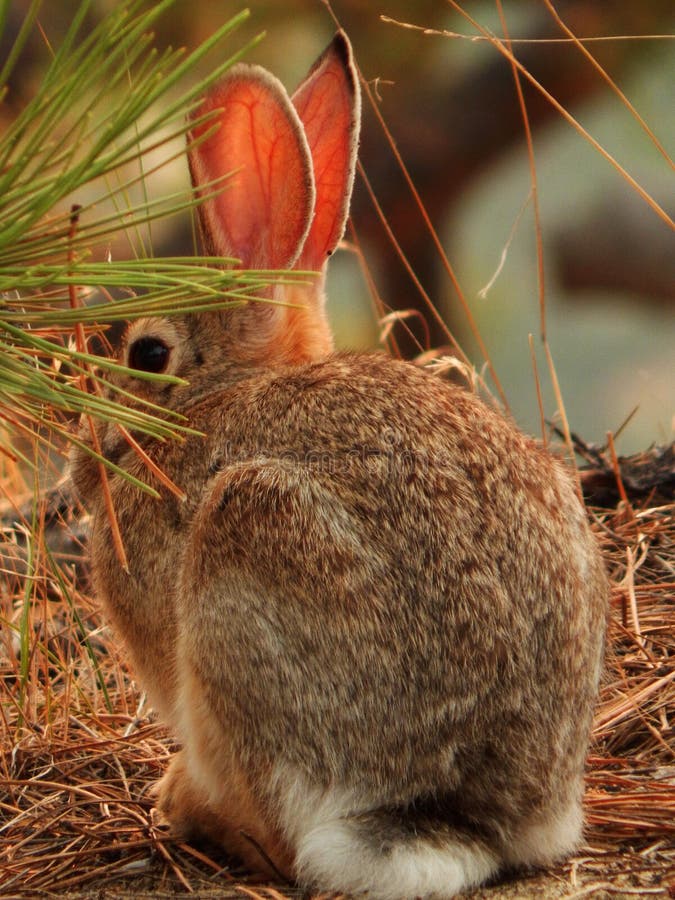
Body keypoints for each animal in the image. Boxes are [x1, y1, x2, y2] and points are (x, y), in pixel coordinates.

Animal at [70, 31, 609, 899]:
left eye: (147, 354)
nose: (84, 459)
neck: (218, 396)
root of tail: (464, 815)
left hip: (247, 566)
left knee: (281, 836)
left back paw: (192, 807)